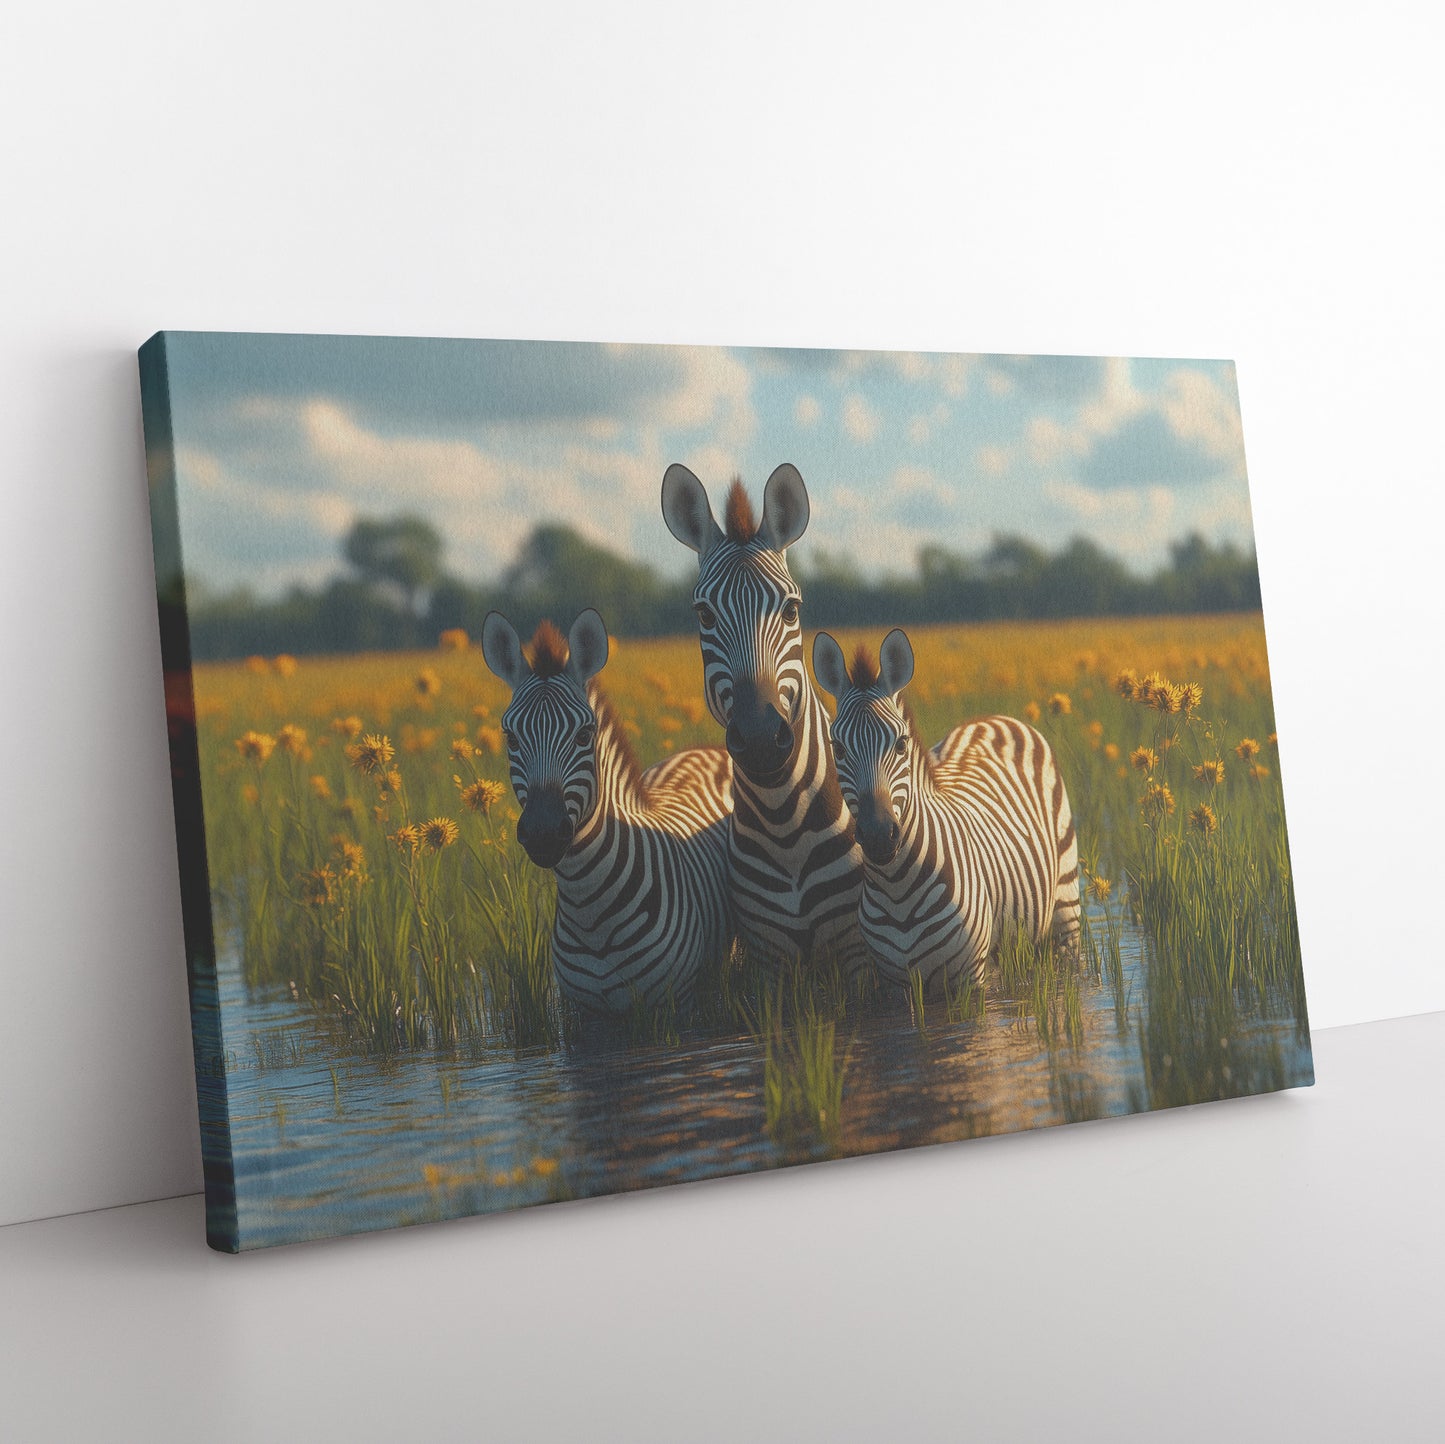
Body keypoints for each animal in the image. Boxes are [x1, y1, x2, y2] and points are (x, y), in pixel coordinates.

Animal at [481, 607, 734, 1015]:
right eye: (511, 738)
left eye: (585, 735)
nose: (542, 833)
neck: (591, 910)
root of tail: (702, 748)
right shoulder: (585, 1015)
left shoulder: (677, 1004)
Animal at [661, 462, 865, 973]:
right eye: (704, 615)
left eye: (792, 609)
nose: (758, 739)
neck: (783, 823)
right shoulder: (768, 958)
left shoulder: (861, 952)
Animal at [812, 627, 1081, 992]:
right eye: (837, 749)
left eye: (901, 744)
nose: (880, 836)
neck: (896, 888)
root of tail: (993, 718)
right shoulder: (896, 984)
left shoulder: (972, 979)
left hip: (1066, 910)